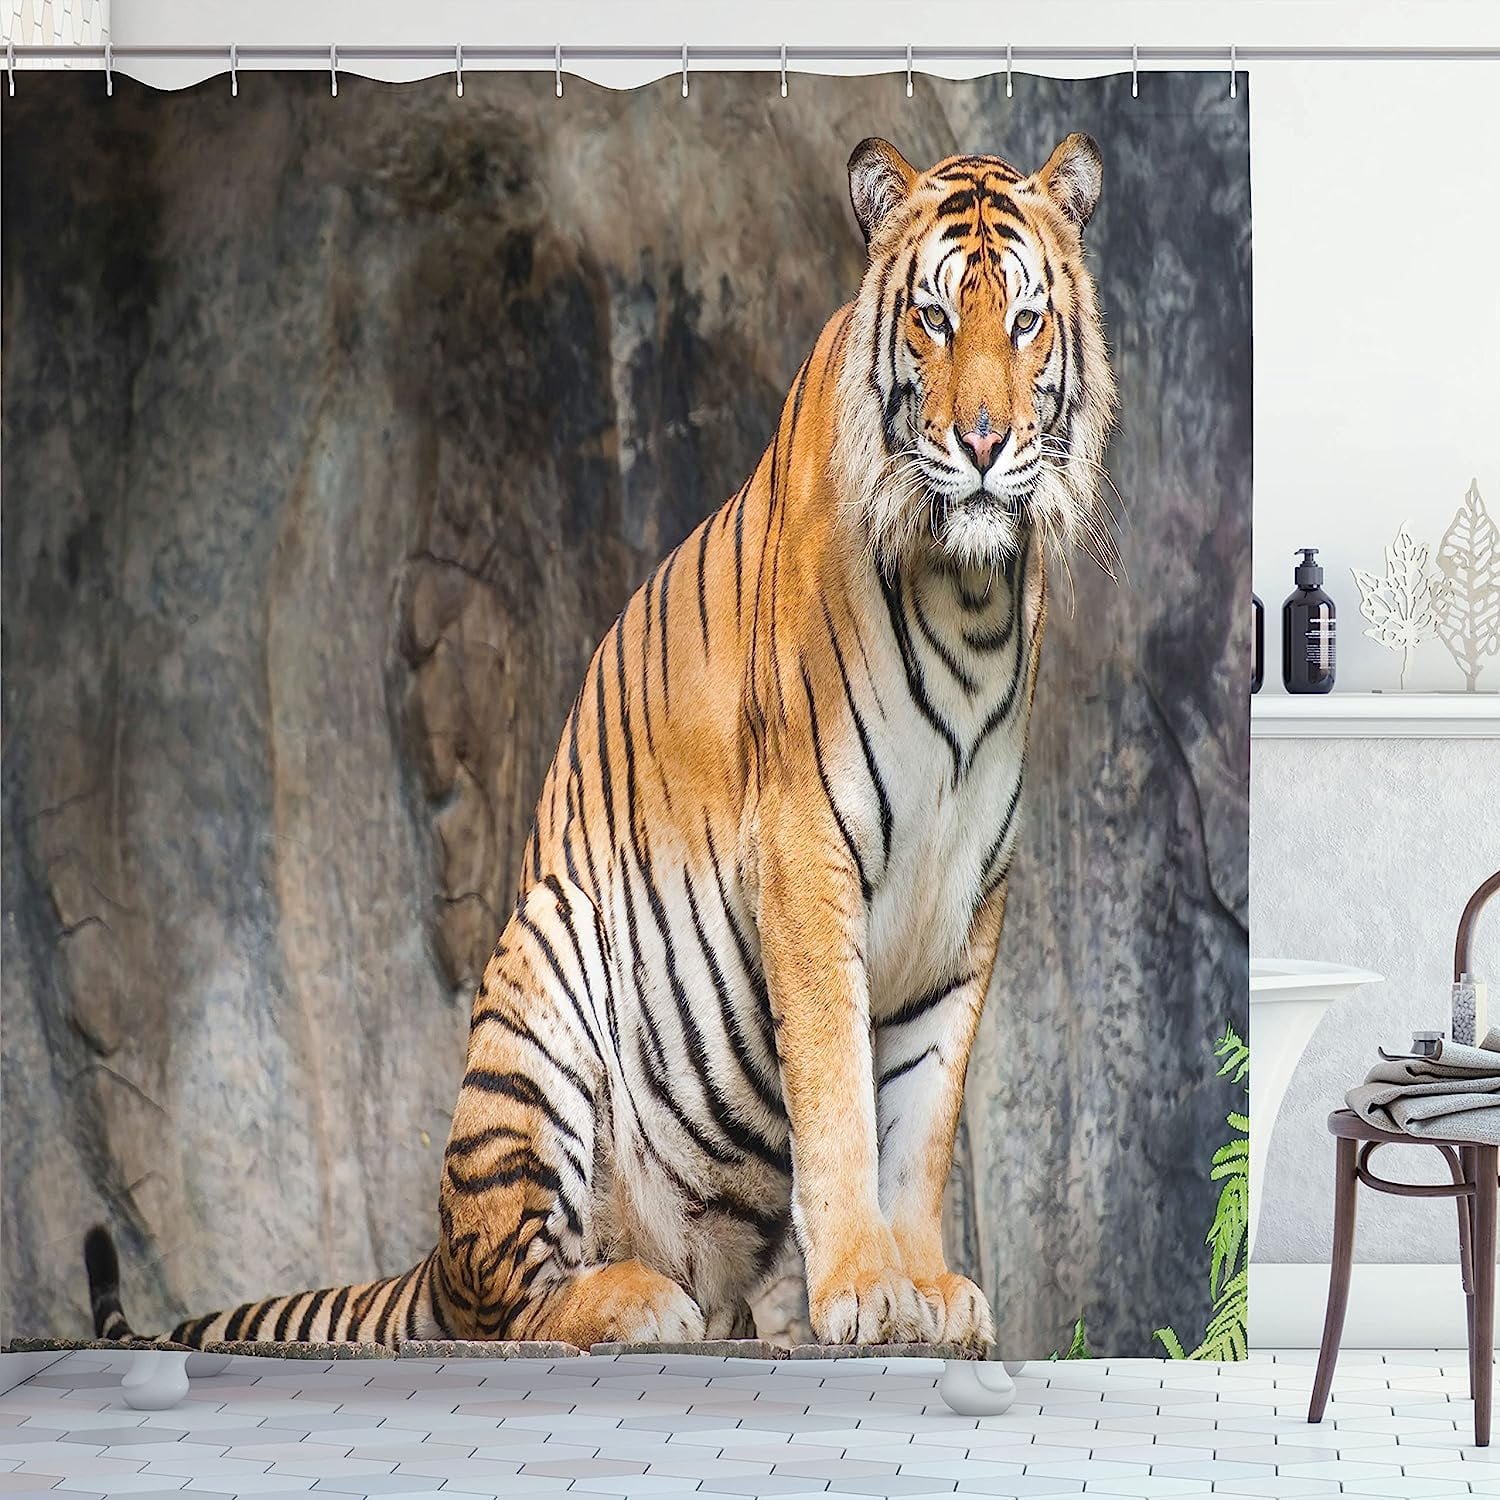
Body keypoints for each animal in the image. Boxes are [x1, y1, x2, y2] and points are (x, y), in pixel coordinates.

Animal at [85, 132, 1117, 1352]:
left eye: (1025, 322)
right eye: (934, 320)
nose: (984, 443)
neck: (971, 596)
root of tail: (430, 1256)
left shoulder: (969, 892)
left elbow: (924, 1119)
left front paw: (929, 1287)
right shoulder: (805, 851)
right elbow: (839, 1091)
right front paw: (866, 1287)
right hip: (548, 971)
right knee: (508, 1303)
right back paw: (635, 1300)